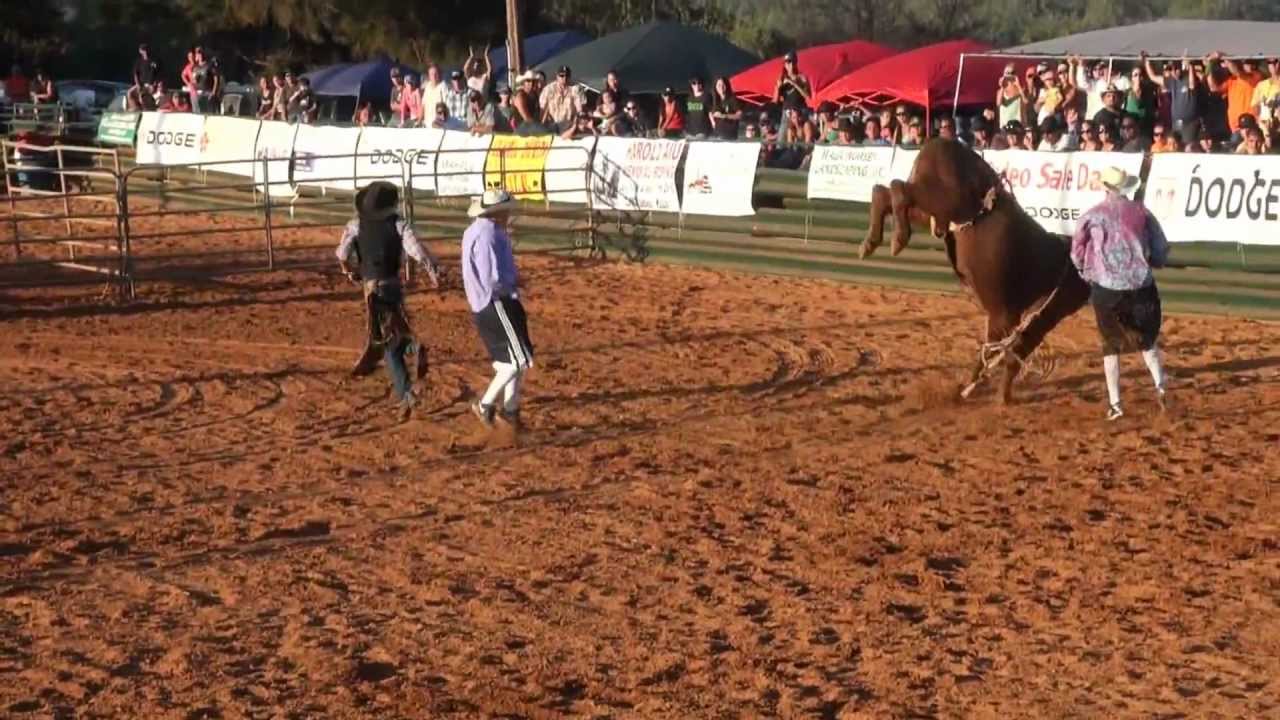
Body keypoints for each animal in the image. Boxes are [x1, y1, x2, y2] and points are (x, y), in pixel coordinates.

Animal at [861, 138, 1091, 403]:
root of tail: (944, 143)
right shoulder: (1011, 317)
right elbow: (1000, 351)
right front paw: (996, 392)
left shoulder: (1008, 318)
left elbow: (993, 352)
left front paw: (974, 388)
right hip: (943, 199)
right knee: (898, 188)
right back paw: (898, 237)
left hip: (933, 212)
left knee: (885, 191)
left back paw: (873, 242)